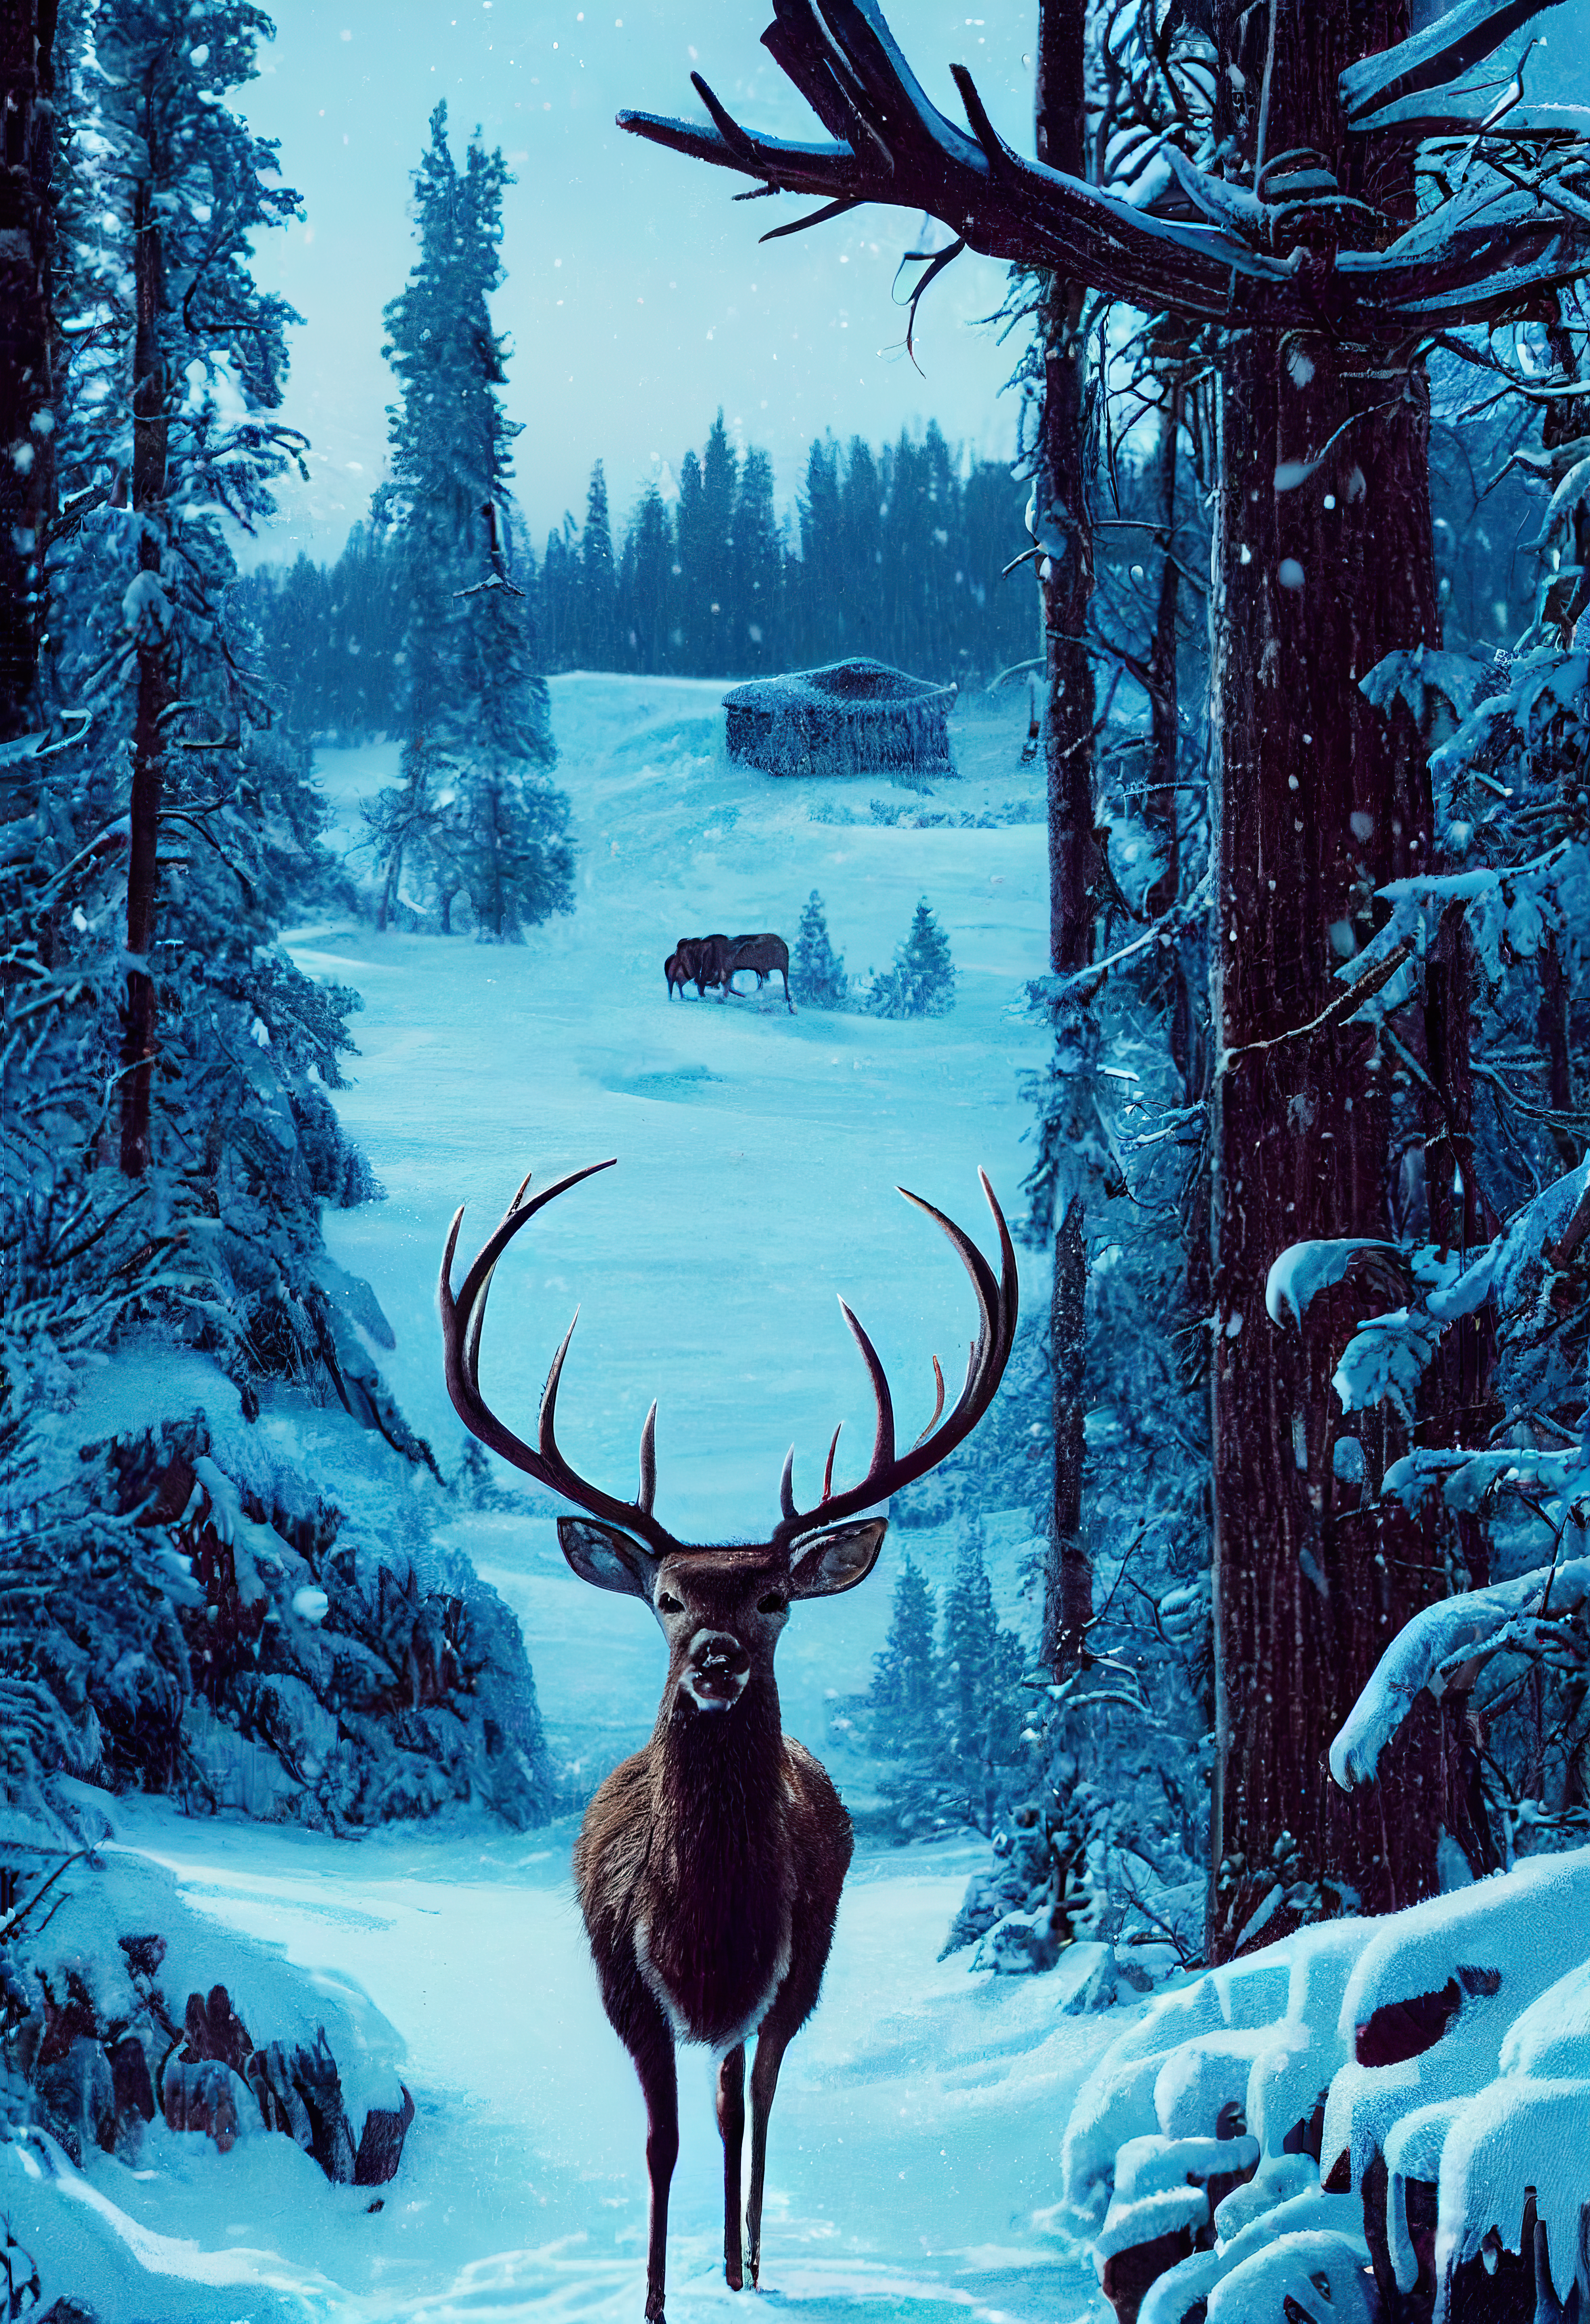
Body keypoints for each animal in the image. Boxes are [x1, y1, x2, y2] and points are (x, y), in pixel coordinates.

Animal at [438, 1159, 1016, 2324]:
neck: (697, 1929)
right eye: (665, 1596)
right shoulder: (623, 1980)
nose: (713, 1656)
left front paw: (738, 2268)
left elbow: (746, 2105)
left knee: (751, 2097)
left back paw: (746, 2259)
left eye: (774, 1594)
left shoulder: (786, 1964)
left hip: (806, 1965)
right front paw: (655, 2298)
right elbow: (659, 2139)